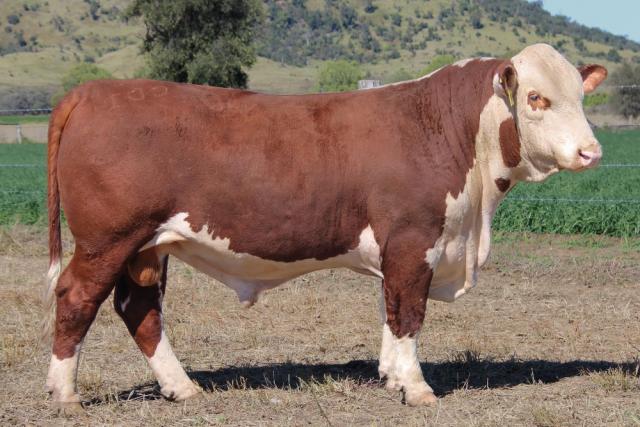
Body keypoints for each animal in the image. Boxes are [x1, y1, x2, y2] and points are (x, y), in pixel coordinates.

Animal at [43, 44, 607, 412]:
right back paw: (65, 393)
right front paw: (416, 387)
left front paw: (390, 376)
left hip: (146, 246)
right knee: (77, 298)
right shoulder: (414, 241)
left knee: (139, 309)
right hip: (106, 240)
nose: (591, 151)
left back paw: (181, 388)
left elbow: (391, 311)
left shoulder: (404, 250)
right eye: (535, 98)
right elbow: (410, 313)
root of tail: (92, 90)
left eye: (581, 98)